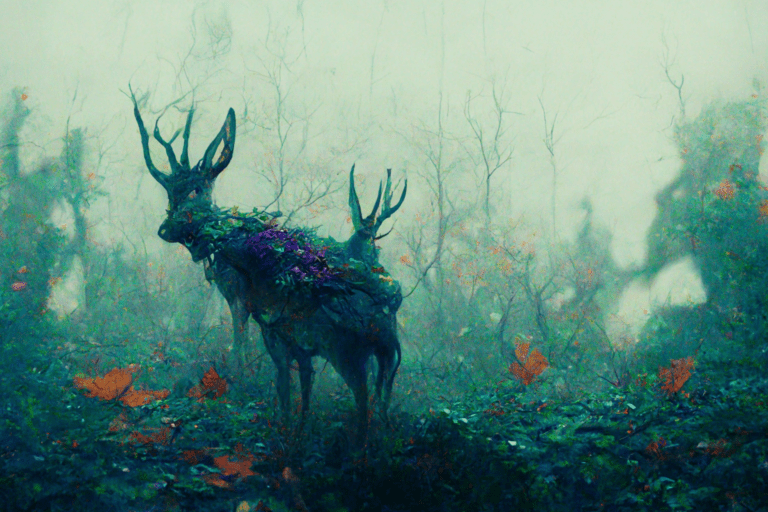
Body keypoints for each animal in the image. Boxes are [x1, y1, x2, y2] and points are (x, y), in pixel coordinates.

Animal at [130, 91, 406, 444]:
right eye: (170, 196)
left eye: (195, 192)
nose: (164, 229)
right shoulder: (289, 339)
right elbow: (295, 387)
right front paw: (292, 429)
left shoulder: (253, 310)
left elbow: (246, 350)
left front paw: (247, 393)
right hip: (378, 356)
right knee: (379, 398)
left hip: (349, 352)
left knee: (364, 399)